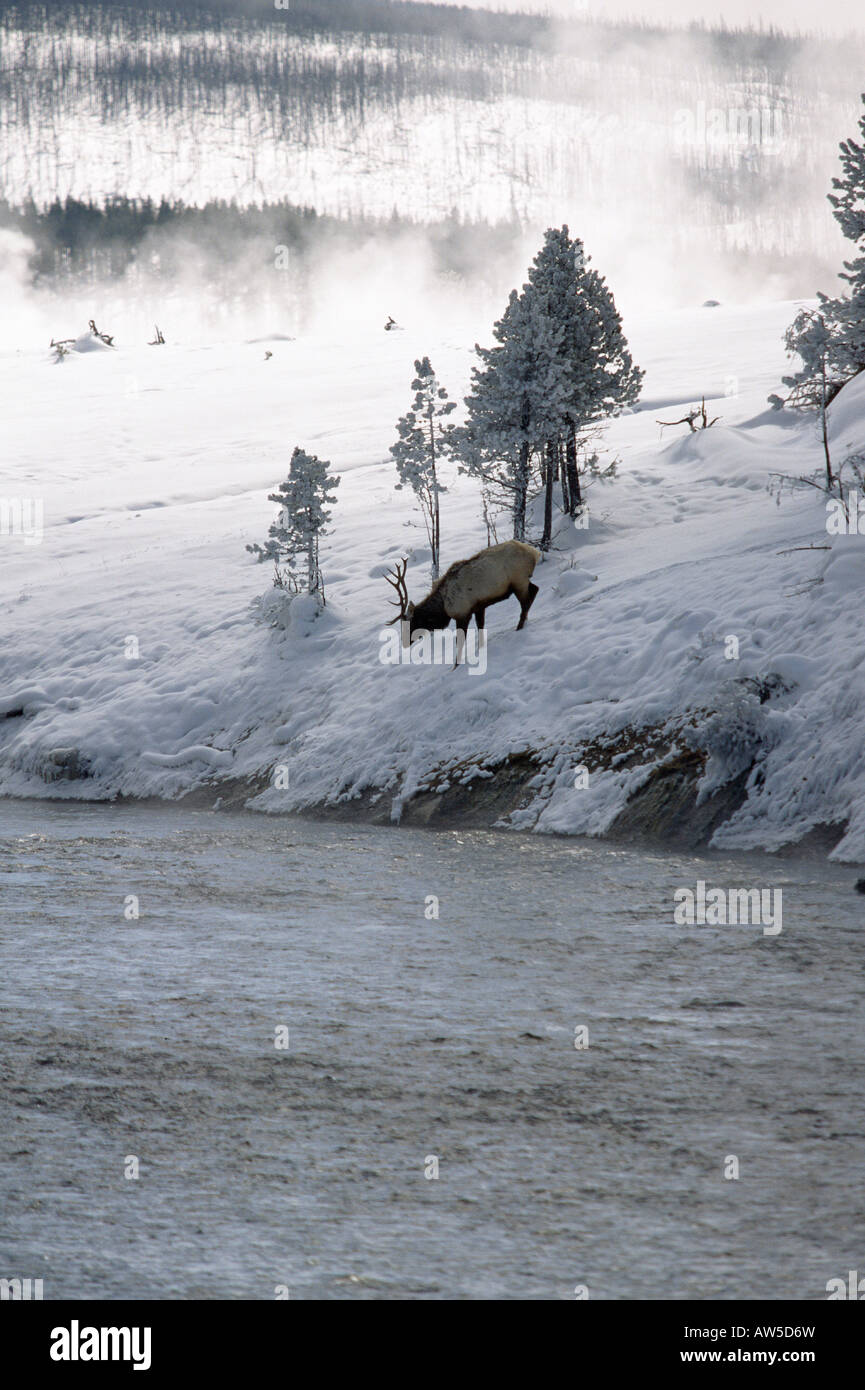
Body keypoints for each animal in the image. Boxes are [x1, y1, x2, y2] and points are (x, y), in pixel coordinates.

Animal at [384, 541, 541, 647]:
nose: (404, 643)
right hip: (521, 581)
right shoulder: (479, 607)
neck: (443, 608)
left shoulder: (462, 613)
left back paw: (520, 627)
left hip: (518, 580)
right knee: (535, 589)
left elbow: (459, 643)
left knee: (526, 601)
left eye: (409, 623)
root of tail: (534, 552)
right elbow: (480, 629)